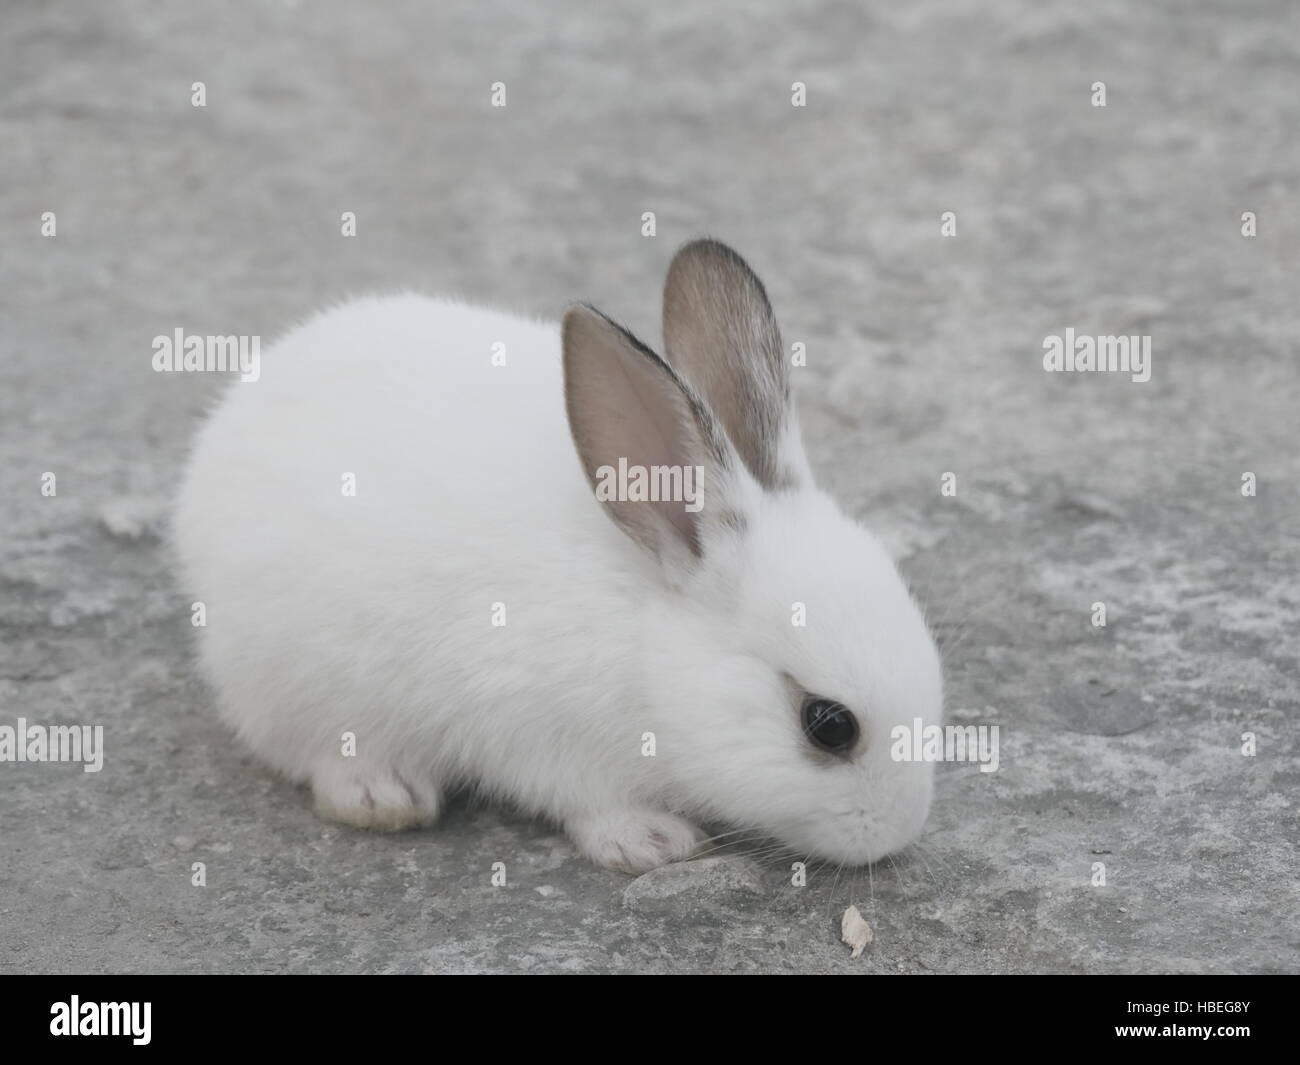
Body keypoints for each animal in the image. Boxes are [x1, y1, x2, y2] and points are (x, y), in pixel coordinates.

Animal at [172, 239, 943, 874]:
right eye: (828, 724)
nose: (896, 834)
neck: (650, 647)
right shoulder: (541, 736)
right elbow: (588, 801)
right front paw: (651, 843)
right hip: (293, 679)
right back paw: (383, 795)